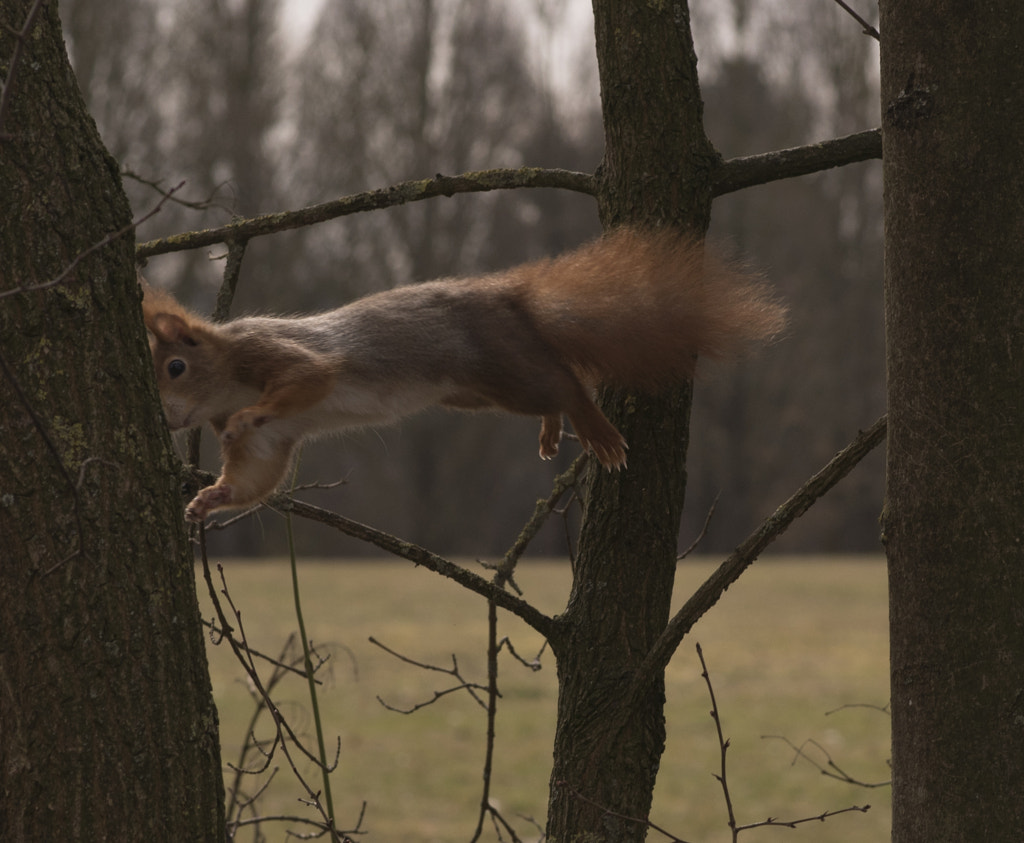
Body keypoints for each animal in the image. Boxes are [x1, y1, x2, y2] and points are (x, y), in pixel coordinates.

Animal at [142, 227, 786, 522]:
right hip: (480, 393)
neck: (226, 378)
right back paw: (553, 430)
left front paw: (245, 418)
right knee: (552, 389)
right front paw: (211, 497)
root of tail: (506, 296)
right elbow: (255, 477)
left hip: (504, 367)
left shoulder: (278, 356)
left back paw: (594, 428)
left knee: (569, 383)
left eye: (176, 366)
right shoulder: (271, 442)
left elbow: (307, 380)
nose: (166, 418)